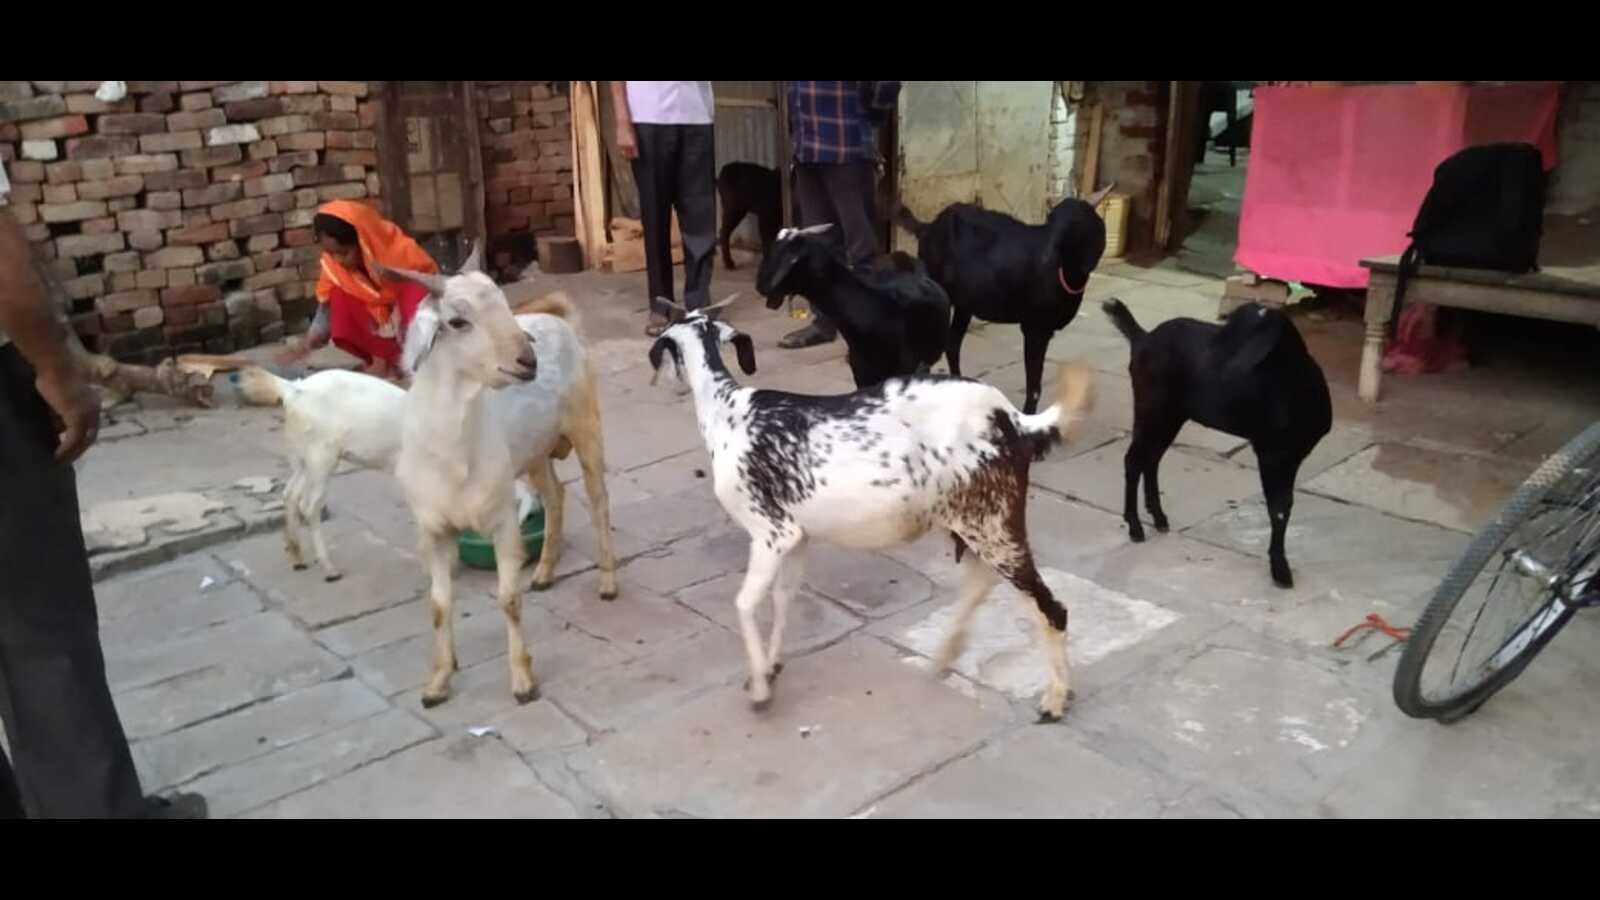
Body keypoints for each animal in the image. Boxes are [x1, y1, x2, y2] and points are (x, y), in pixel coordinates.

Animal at [237, 366, 538, 584]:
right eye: (520, 508)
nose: (520, 539)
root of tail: (294, 389)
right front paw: (440, 566)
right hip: (322, 456)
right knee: (310, 505)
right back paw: (329, 569)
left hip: (302, 456)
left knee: (289, 494)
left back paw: (297, 558)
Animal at [379, 244, 620, 708]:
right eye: (457, 321)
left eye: (506, 305)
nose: (528, 361)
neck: (452, 455)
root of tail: (558, 320)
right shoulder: (432, 531)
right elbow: (438, 605)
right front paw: (437, 682)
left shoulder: (502, 521)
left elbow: (508, 599)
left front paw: (523, 680)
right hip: (534, 454)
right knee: (556, 494)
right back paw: (544, 571)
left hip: (587, 426)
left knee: (598, 498)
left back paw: (608, 581)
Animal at [648, 299, 1096, 721]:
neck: (726, 410)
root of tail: (1014, 420)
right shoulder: (797, 538)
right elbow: (783, 597)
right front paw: (771, 668)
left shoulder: (770, 531)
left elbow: (744, 603)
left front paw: (760, 689)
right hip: (971, 518)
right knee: (982, 580)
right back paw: (947, 654)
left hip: (991, 521)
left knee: (1049, 607)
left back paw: (1055, 698)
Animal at [896, 184, 1115, 414]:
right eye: (1050, 221)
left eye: (1076, 224)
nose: (1046, 257)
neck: (1069, 276)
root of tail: (927, 228)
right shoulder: (1035, 328)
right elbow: (1034, 387)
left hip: (965, 302)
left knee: (952, 343)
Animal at [1103, 298, 1332, 588]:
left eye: (1253, 333)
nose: (1222, 371)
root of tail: (1142, 339)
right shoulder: (1270, 452)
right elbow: (1278, 508)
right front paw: (1280, 569)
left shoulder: (1292, 456)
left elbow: (1285, 505)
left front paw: (1280, 565)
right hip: (1152, 409)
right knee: (1134, 460)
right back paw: (1135, 527)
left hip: (1171, 416)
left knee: (1150, 459)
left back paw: (1158, 517)